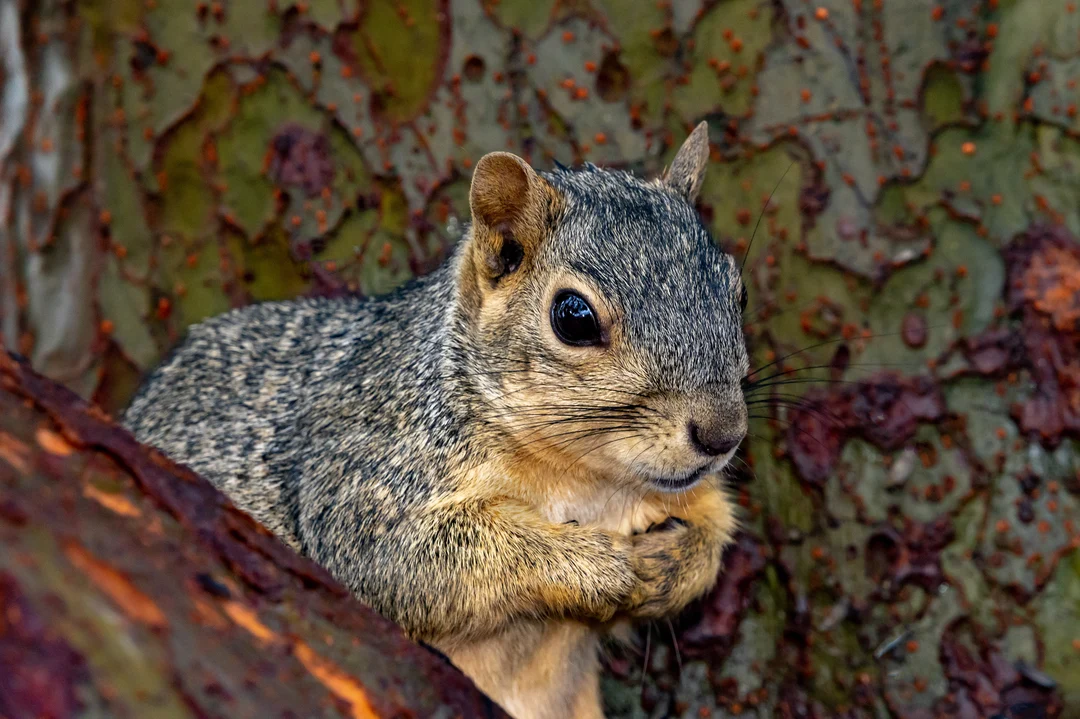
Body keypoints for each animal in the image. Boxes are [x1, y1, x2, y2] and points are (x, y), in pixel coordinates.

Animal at [123, 121, 749, 719]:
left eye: (736, 292)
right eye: (573, 318)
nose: (723, 434)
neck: (587, 478)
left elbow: (716, 529)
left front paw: (678, 566)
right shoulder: (359, 474)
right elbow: (412, 558)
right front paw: (597, 566)